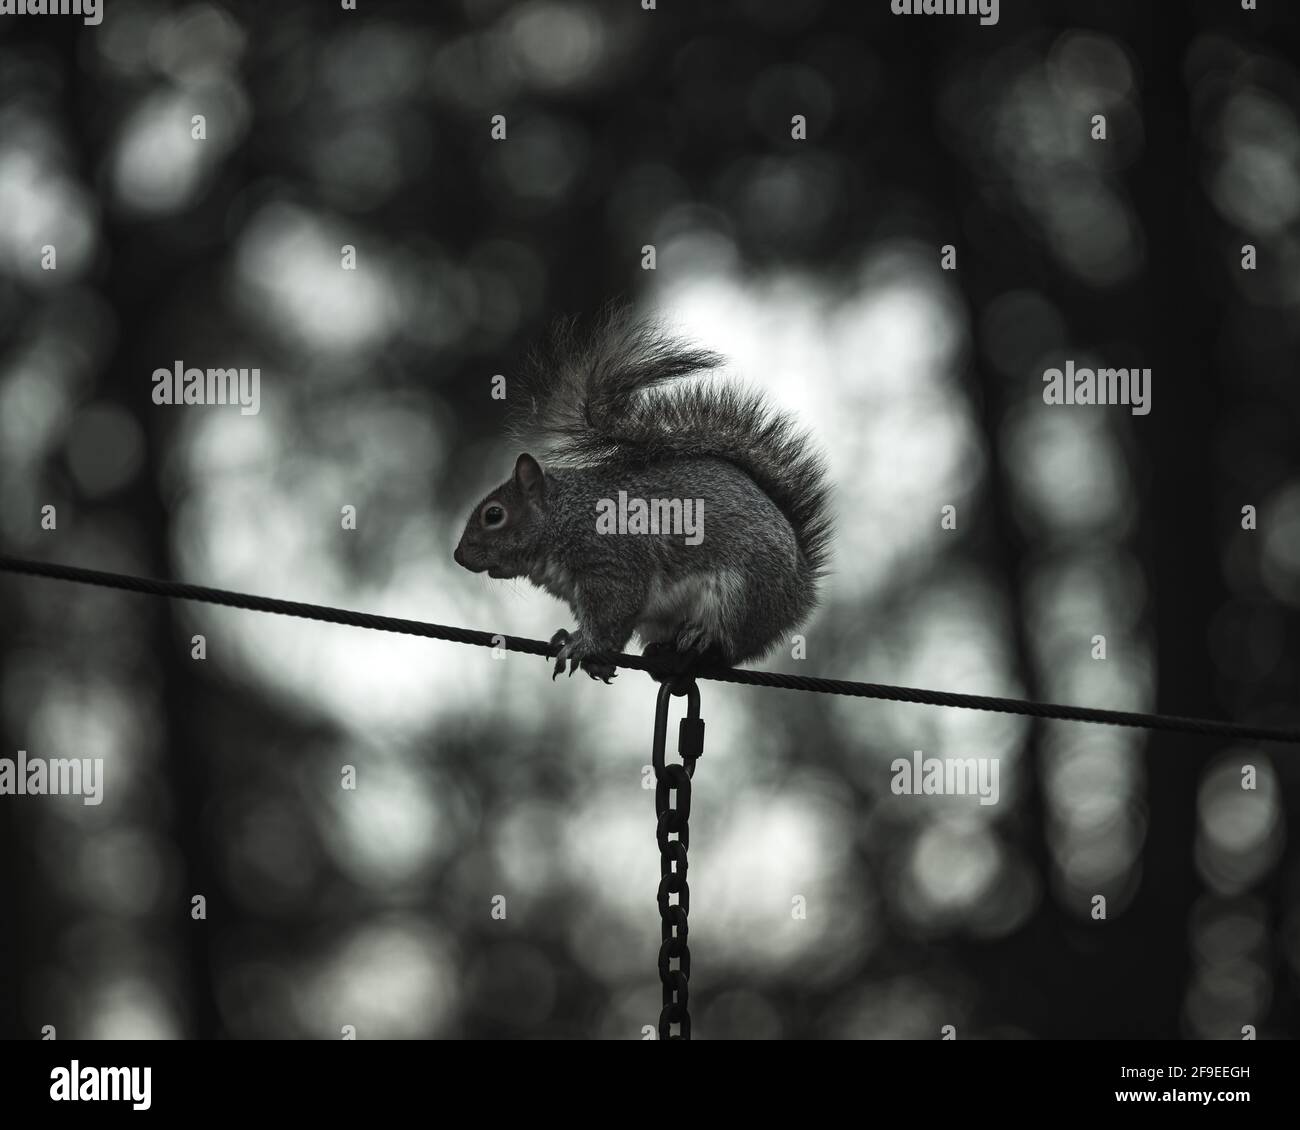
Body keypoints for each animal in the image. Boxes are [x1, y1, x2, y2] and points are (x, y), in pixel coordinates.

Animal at [453, 308, 833, 682]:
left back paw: (702, 636)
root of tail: (801, 588)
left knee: (728, 644)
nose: (458, 556)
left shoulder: (613, 565)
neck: (565, 516)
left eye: (493, 515)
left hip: (741, 592)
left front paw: (581, 644)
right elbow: (615, 629)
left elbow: (613, 614)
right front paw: (592, 655)